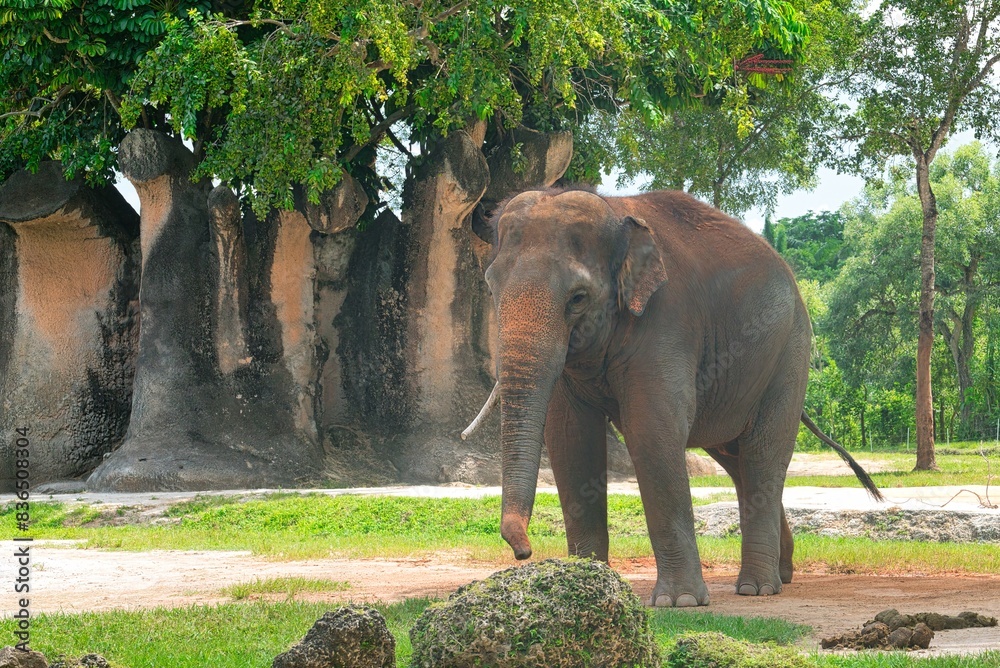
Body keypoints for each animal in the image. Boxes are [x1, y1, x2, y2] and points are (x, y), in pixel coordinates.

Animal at [467, 187, 883, 608]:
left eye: (578, 298)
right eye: (490, 288)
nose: (524, 552)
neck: (614, 210)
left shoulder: (666, 319)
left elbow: (653, 431)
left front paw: (678, 602)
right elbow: (571, 440)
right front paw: (582, 584)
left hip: (790, 352)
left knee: (764, 452)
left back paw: (757, 588)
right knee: (737, 460)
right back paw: (781, 575)